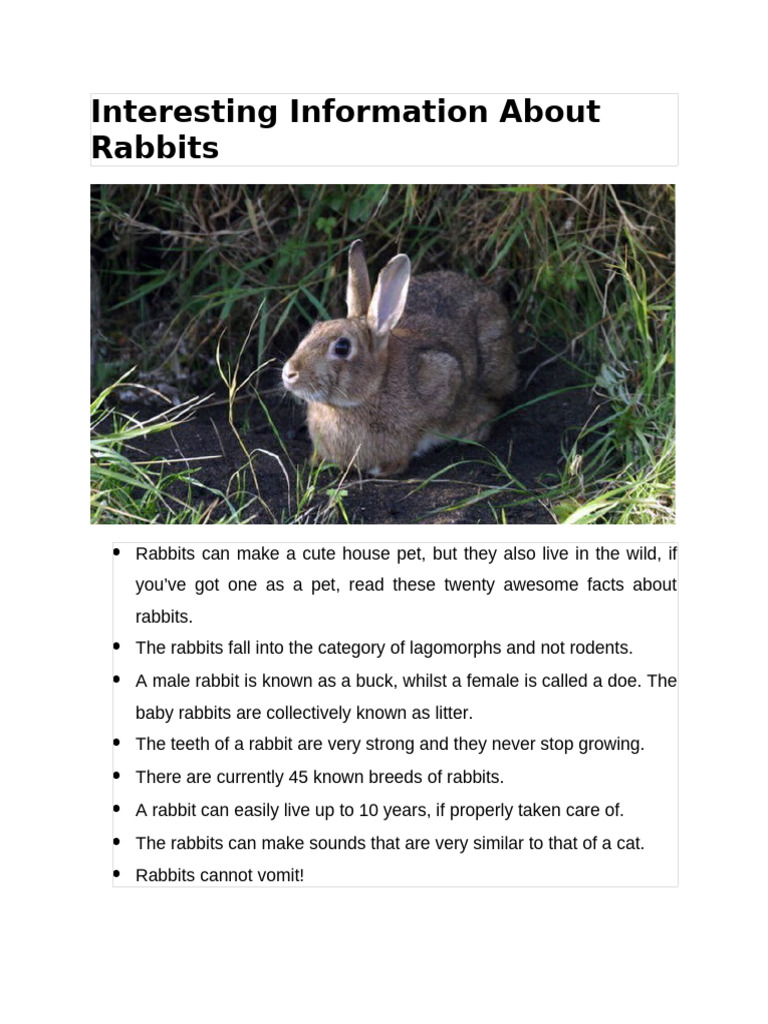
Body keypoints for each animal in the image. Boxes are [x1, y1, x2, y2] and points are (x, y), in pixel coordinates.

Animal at [281, 239, 518, 476]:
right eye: (315, 328)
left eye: (342, 347)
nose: (289, 374)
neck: (373, 388)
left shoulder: (444, 374)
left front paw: (386, 468)